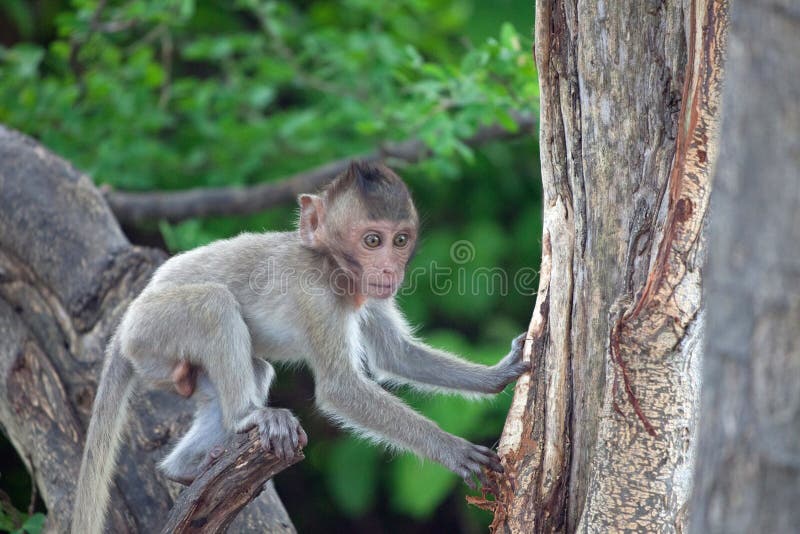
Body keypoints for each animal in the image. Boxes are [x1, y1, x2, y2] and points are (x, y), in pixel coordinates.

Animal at [71, 161, 530, 533]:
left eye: (400, 240)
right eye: (372, 241)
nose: (389, 269)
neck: (331, 266)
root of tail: (124, 324)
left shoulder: (368, 293)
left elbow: (394, 355)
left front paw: (498, 374)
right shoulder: (316, 296)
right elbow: (340, 388)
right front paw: (451, 449)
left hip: (165, 359)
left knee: (253, 370)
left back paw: (184, 468)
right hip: (155, 328)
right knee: (214, 305)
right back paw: (246, 416)